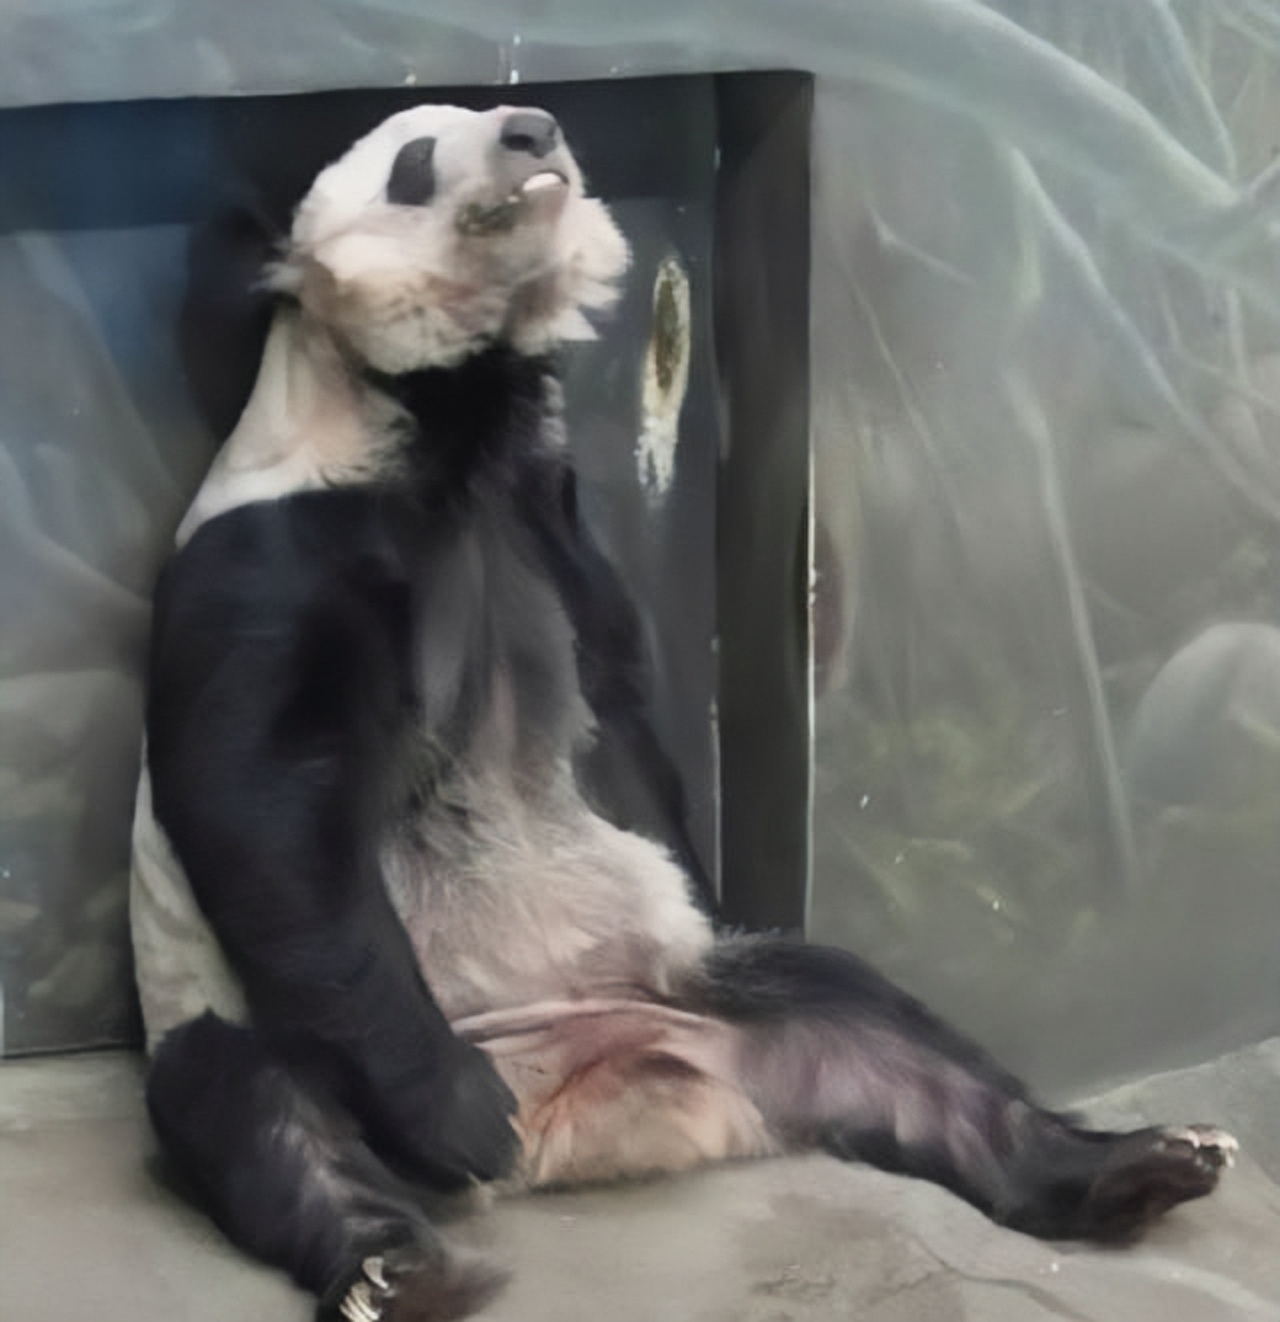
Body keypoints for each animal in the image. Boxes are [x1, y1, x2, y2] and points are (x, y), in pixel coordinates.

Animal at [130, 103, 1236, 1322]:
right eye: (413, 164)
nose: (533, 126)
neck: (445, 423)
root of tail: (579, 1112)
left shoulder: (543, 516)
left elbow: (619, 710)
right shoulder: (273, 549)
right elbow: (261, 801)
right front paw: (458, 1116)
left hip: (708, 998)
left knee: (872, 1031)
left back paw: (1137, 1162)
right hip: (243, 1015)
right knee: (265, 1115)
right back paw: (395, 1261)